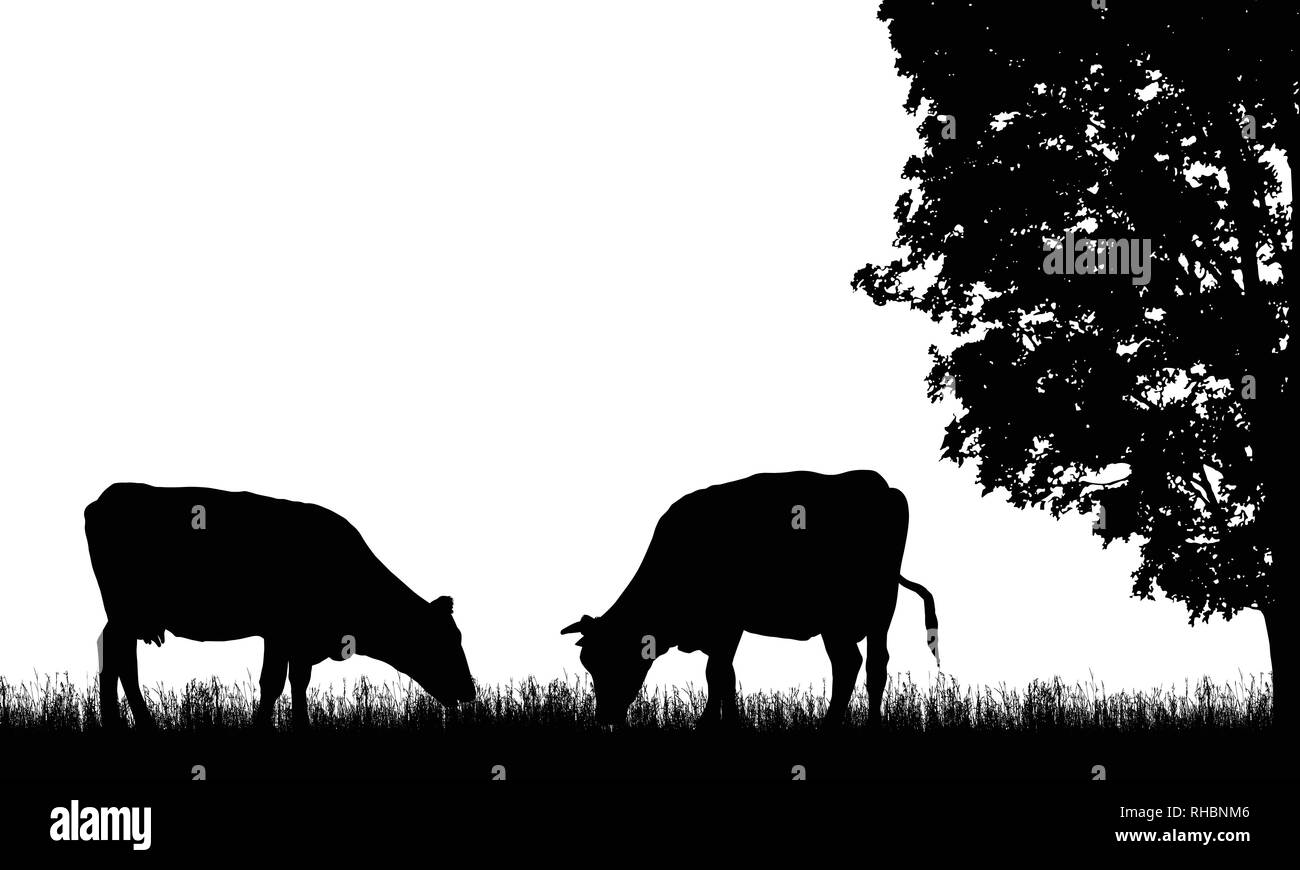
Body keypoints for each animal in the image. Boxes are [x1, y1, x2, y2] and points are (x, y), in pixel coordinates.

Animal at [85, 482, 475, 730]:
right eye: (442, 640)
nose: (469, 691)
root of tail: (104, 499)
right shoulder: (279, 632)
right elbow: (272, 683)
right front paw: (263, 729)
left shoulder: (301, 643)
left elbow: (298, 682)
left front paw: (303, 726)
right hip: (125, 612)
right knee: (120, 659)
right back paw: (131, 724)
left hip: (125, 616)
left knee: (113, 655)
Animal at [561, 470, 939, 729]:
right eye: (588, 664)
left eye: (611, 659)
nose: (605, 717)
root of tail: (880, 487)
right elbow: (722, 675)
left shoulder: (727, 622)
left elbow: (718, 672)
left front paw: (711, 724)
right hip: (879, 614)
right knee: (875, 665)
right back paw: (872, 724)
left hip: (839, 619)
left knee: (849, 663)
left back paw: (829, 725)